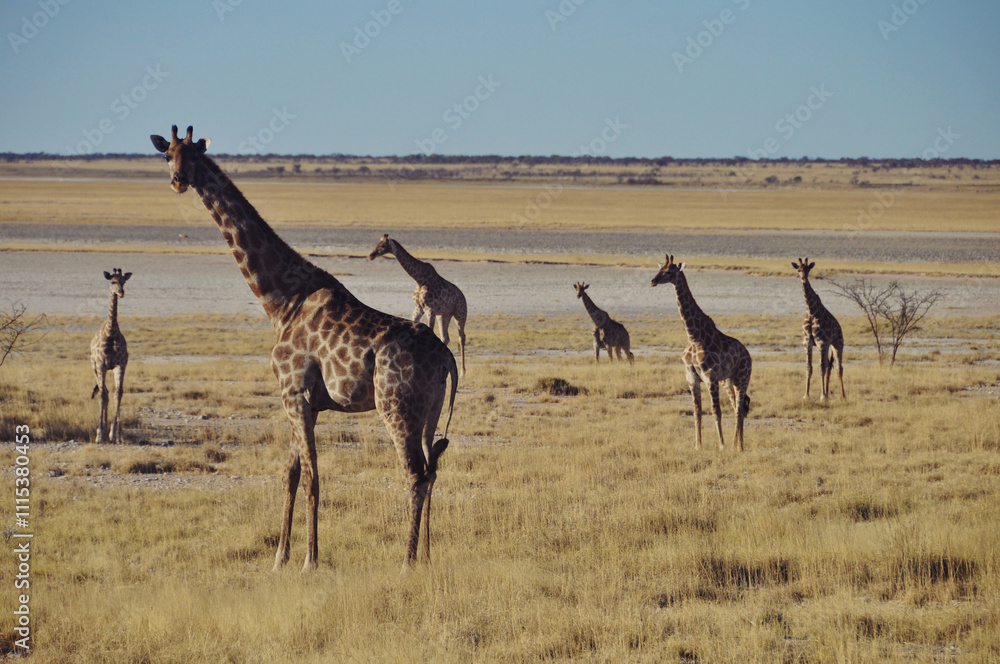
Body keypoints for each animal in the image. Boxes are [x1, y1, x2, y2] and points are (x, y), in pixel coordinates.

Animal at [368, 235, 467, 377]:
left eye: (382, 246)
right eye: (377, 243)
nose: (371, 255)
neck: (420, 279)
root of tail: (463, 296)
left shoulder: (430, 309)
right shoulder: (418, 308)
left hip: (460, 314)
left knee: (462, 337)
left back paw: (463, 371)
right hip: (444, 315)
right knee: (445, 337)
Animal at [650, 256, 751, 451]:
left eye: (669, 271)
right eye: (659, 269)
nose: (653, 281)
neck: (693, 335)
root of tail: (748, 355)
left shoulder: (710, 377)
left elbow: (715, 410)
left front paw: (721, 446)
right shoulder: (691, 377)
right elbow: (697, 411)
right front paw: (698, 445)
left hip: (742, 379)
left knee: (739, 409)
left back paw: (738, 446)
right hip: (729, 381)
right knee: (738, 407)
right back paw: (737, 444)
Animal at [792, 258, 845, 401]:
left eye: (808, 269)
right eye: (798, 270)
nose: (804, 279)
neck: (811, 311)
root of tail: (840, 328)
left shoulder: (822, 342)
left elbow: (821, 368)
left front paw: (822, 396)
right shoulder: (808, 342)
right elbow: (809, 367)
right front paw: (806, 395)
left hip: (837, 344)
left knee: (839, 368)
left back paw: (843, 396)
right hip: (827, 346)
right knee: (829, 366)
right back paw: (827, 392)